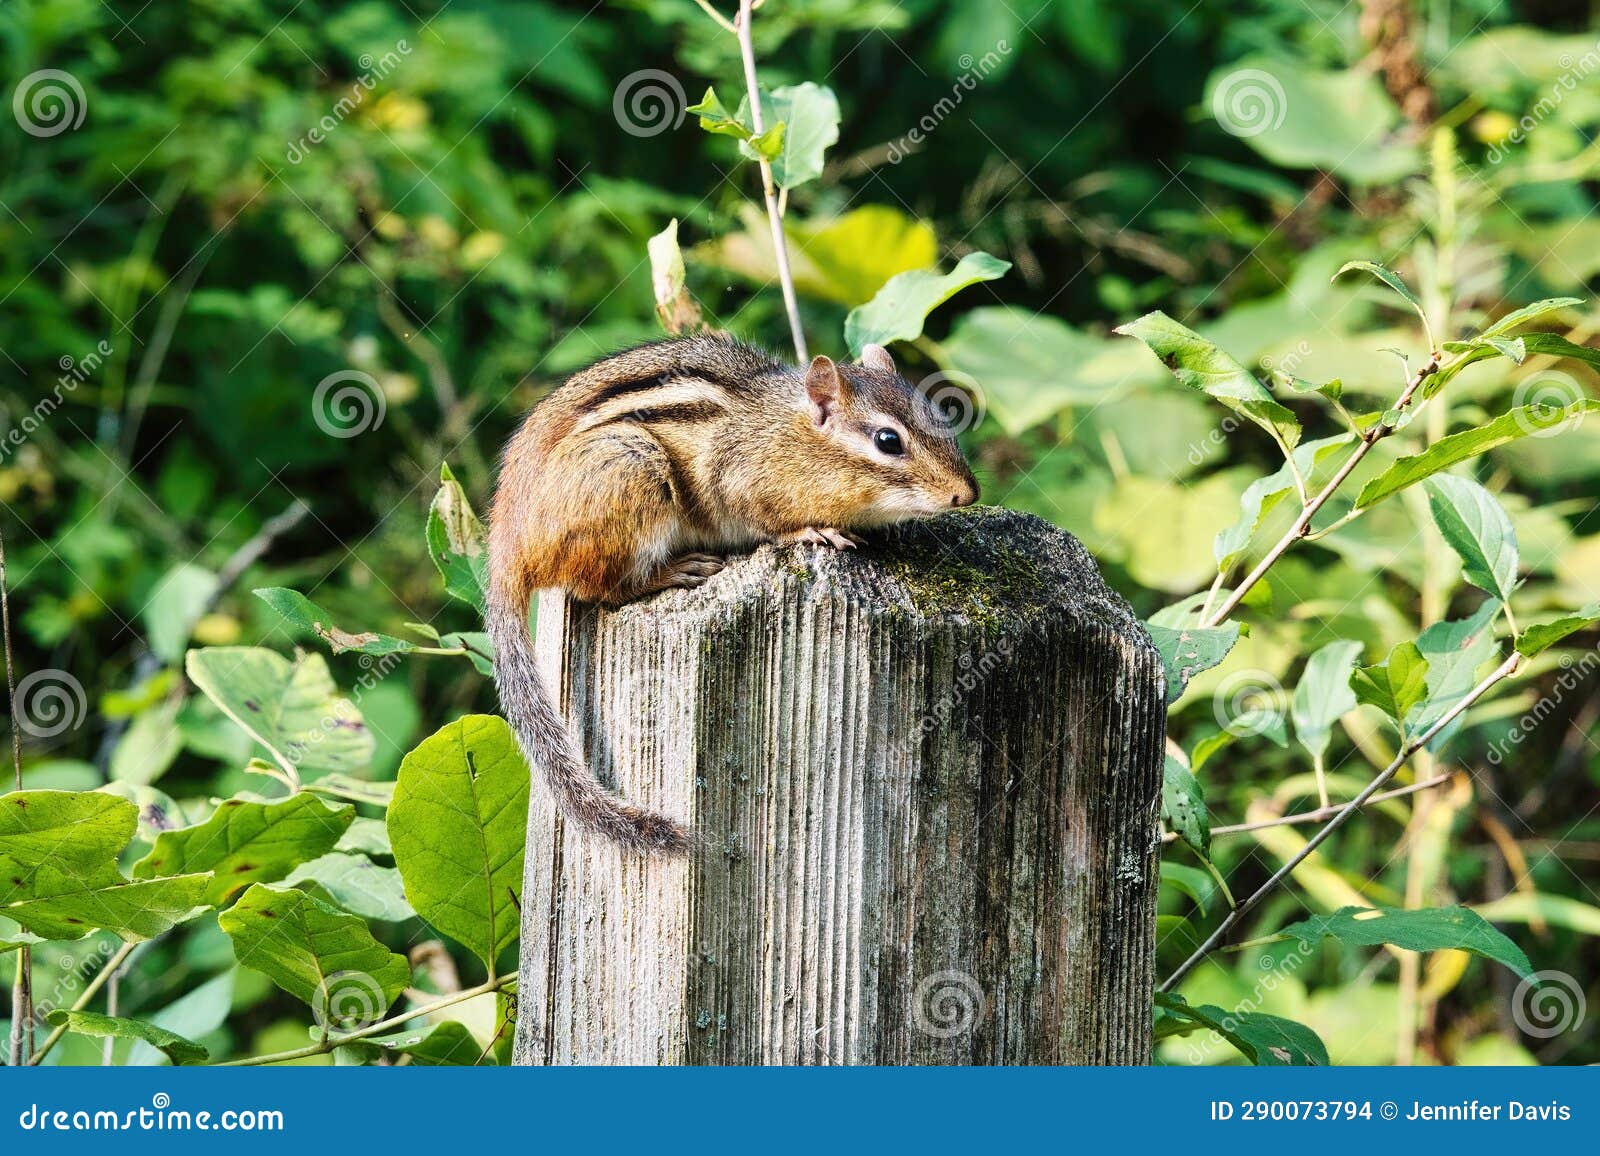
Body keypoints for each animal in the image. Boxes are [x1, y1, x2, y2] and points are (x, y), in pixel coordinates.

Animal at [485, 335, 979, 854]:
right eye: (888, 441)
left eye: (939, 415)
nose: (967, 494)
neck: (790, 434)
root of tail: (507, 548)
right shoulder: (737, 483)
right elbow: (768, 521)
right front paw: (815, 530)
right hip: (630, 470)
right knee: (602, 588)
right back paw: (676, 569)